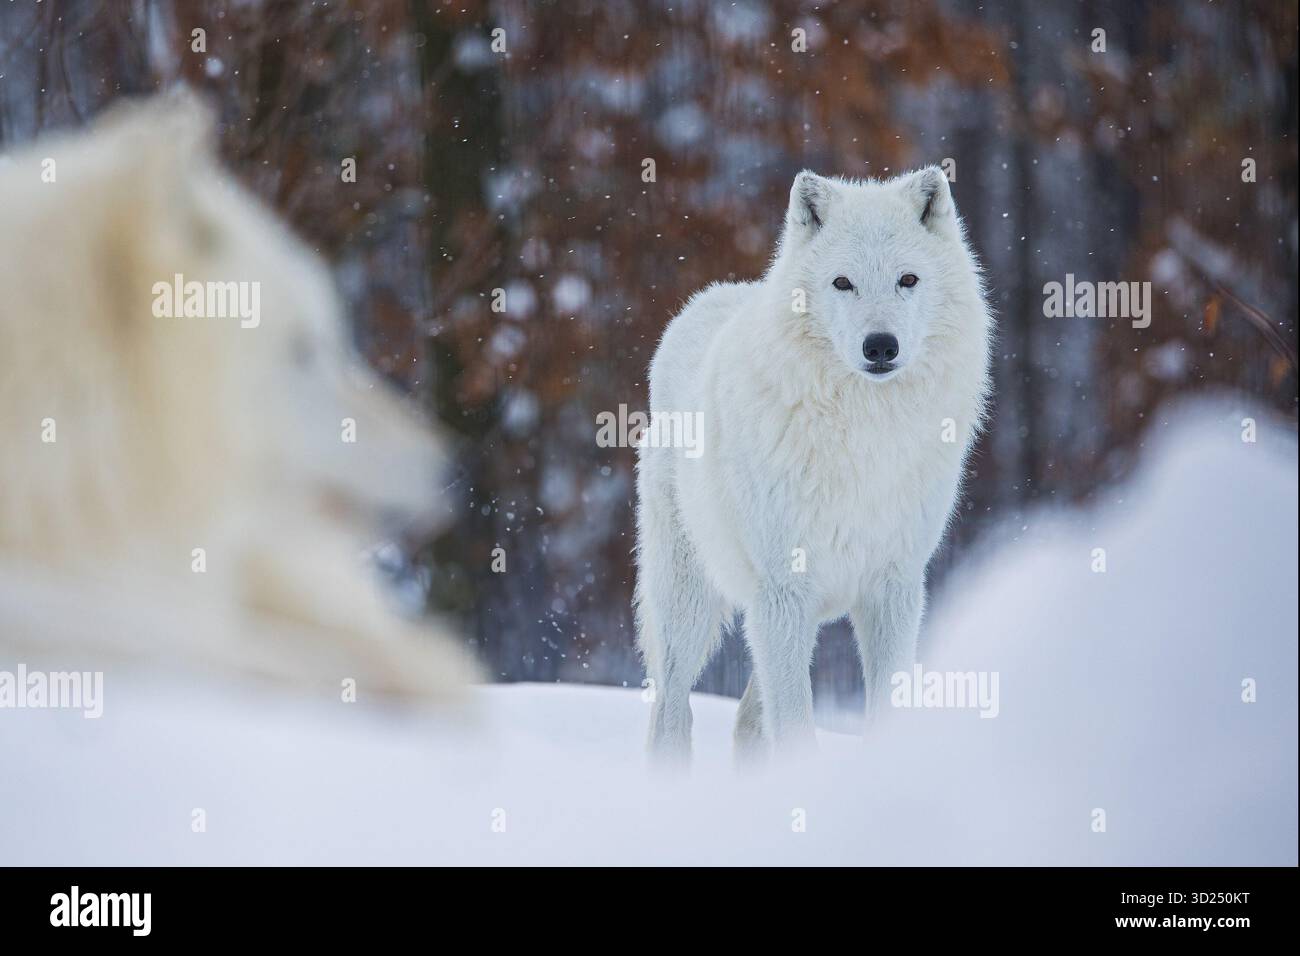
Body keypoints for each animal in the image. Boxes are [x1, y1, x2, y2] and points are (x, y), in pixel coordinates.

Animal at [636, 168, 992, 759]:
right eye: (843, 283)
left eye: (908, 280)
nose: (880, 346)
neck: (865, 434)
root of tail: (707, 299)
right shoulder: (784, 589)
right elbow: (797, 729)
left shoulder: (894, 586)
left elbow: (884, 708)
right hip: (693, 604)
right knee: (671, 713)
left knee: (748, 722)